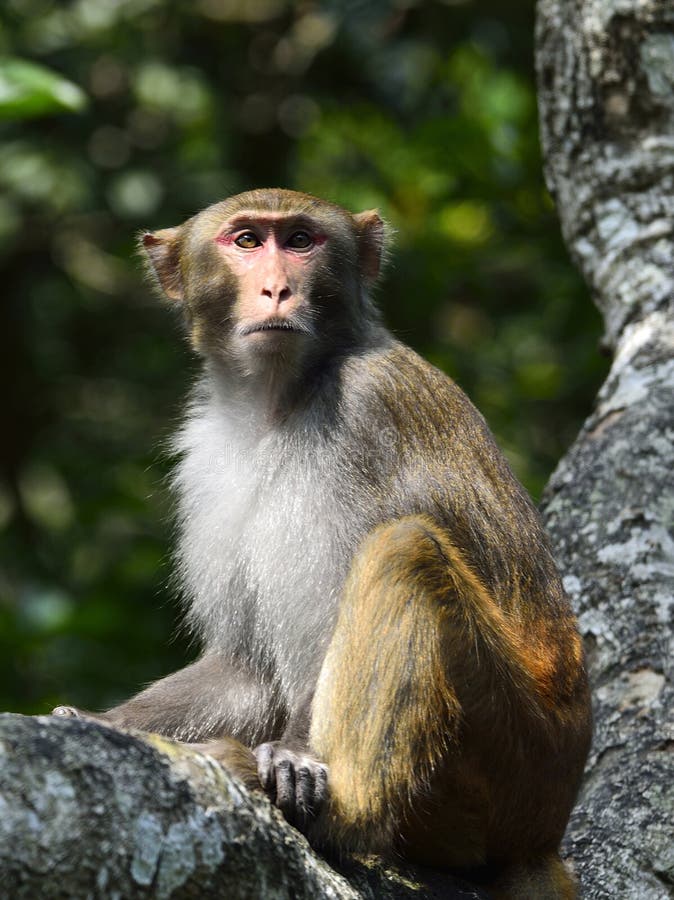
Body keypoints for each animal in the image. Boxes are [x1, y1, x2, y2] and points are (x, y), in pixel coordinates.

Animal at [53, 188, 592, 899]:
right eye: (247, 241)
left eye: (301, 241)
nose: (278, 289)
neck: (276, 402)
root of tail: (545, 833)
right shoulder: (205, 457)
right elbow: (247, 669)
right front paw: (92, 723)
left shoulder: (362, 411)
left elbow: (330, 613)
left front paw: (297, 761)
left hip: (514, 758)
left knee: (405, 550)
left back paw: (337, 807)